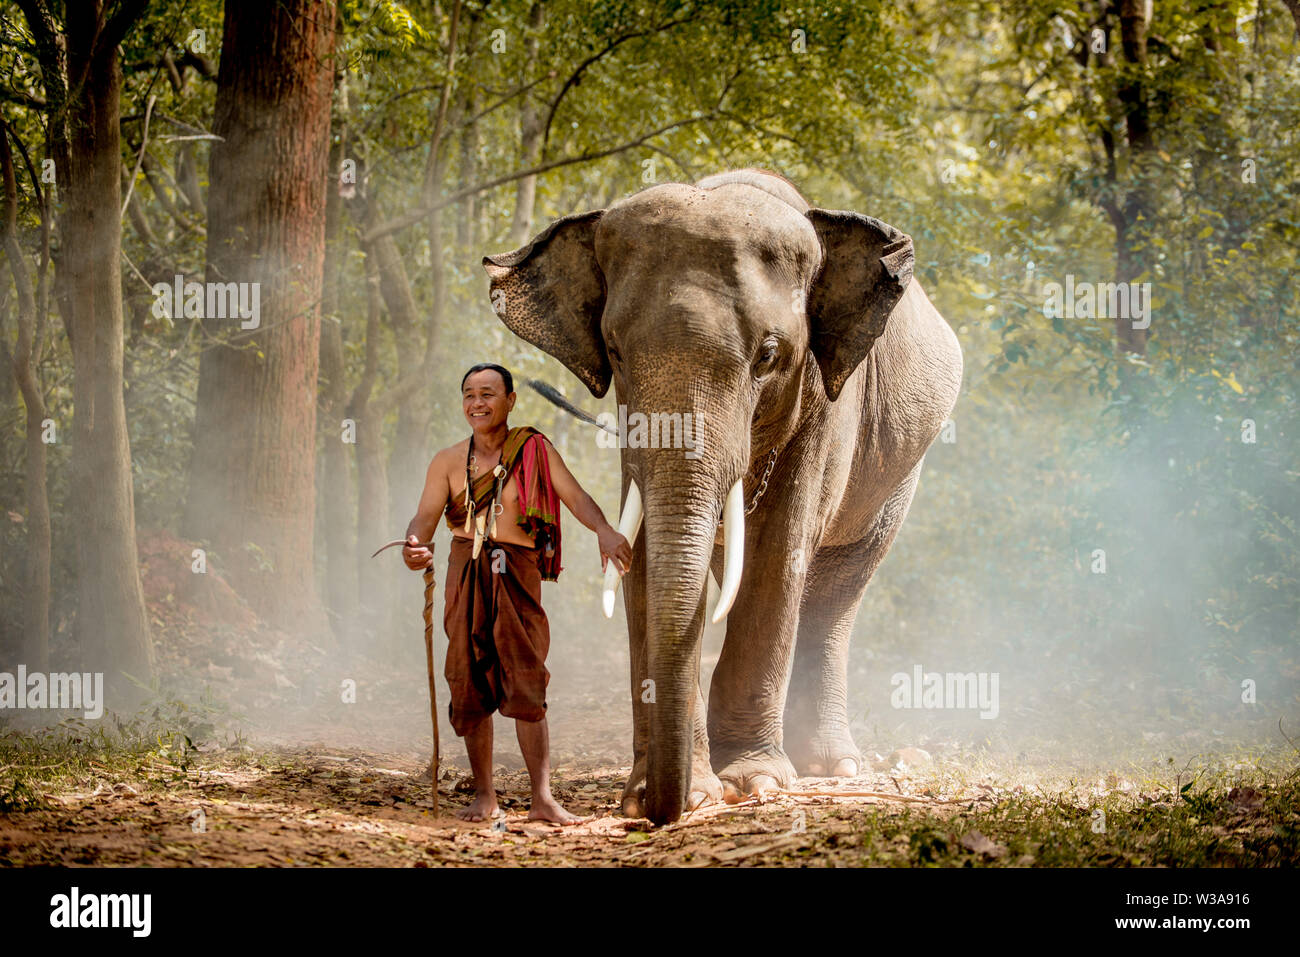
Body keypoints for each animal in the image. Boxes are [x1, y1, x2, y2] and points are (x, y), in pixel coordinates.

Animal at [483, 169, 962, 825]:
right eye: (616, 351)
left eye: (769, 356)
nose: (660, 809)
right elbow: (645, 555)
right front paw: (670, 794)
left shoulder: (823, 405)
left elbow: (776, 561)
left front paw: (753, 783)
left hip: (899, 475)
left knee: (836, 590)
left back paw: (832, 767)